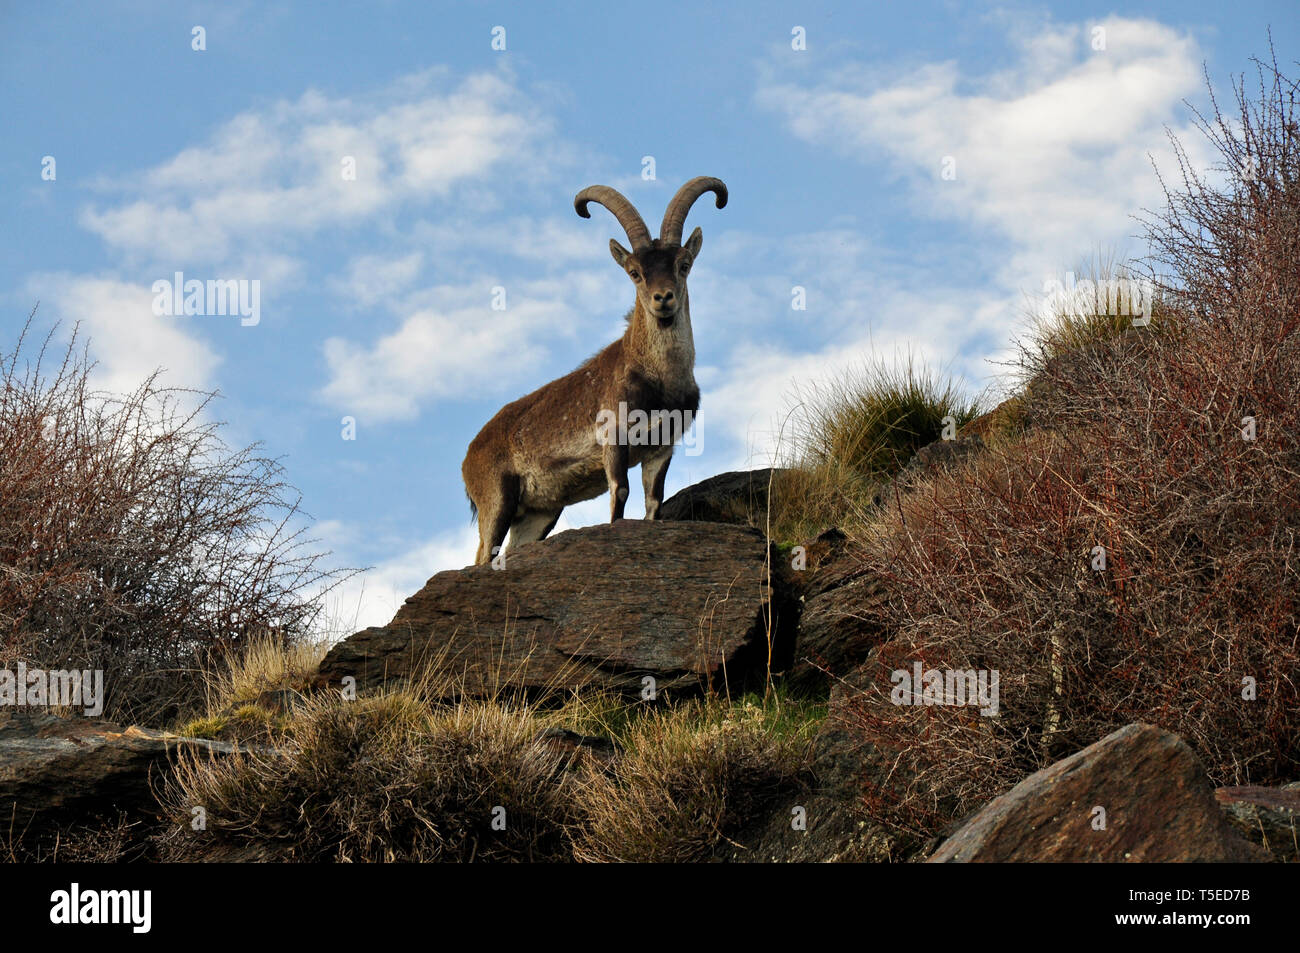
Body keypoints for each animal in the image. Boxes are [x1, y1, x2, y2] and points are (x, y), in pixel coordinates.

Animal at [462, 176, 728, 566]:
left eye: (683, 264)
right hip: (496, 498)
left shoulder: (661, 448)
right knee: (483, 554)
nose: (663, 299)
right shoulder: (613, 438)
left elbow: (654, 502)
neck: (660, 380)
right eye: (635, 273)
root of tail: (469, 456)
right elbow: (620, 493)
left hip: (539, 512)